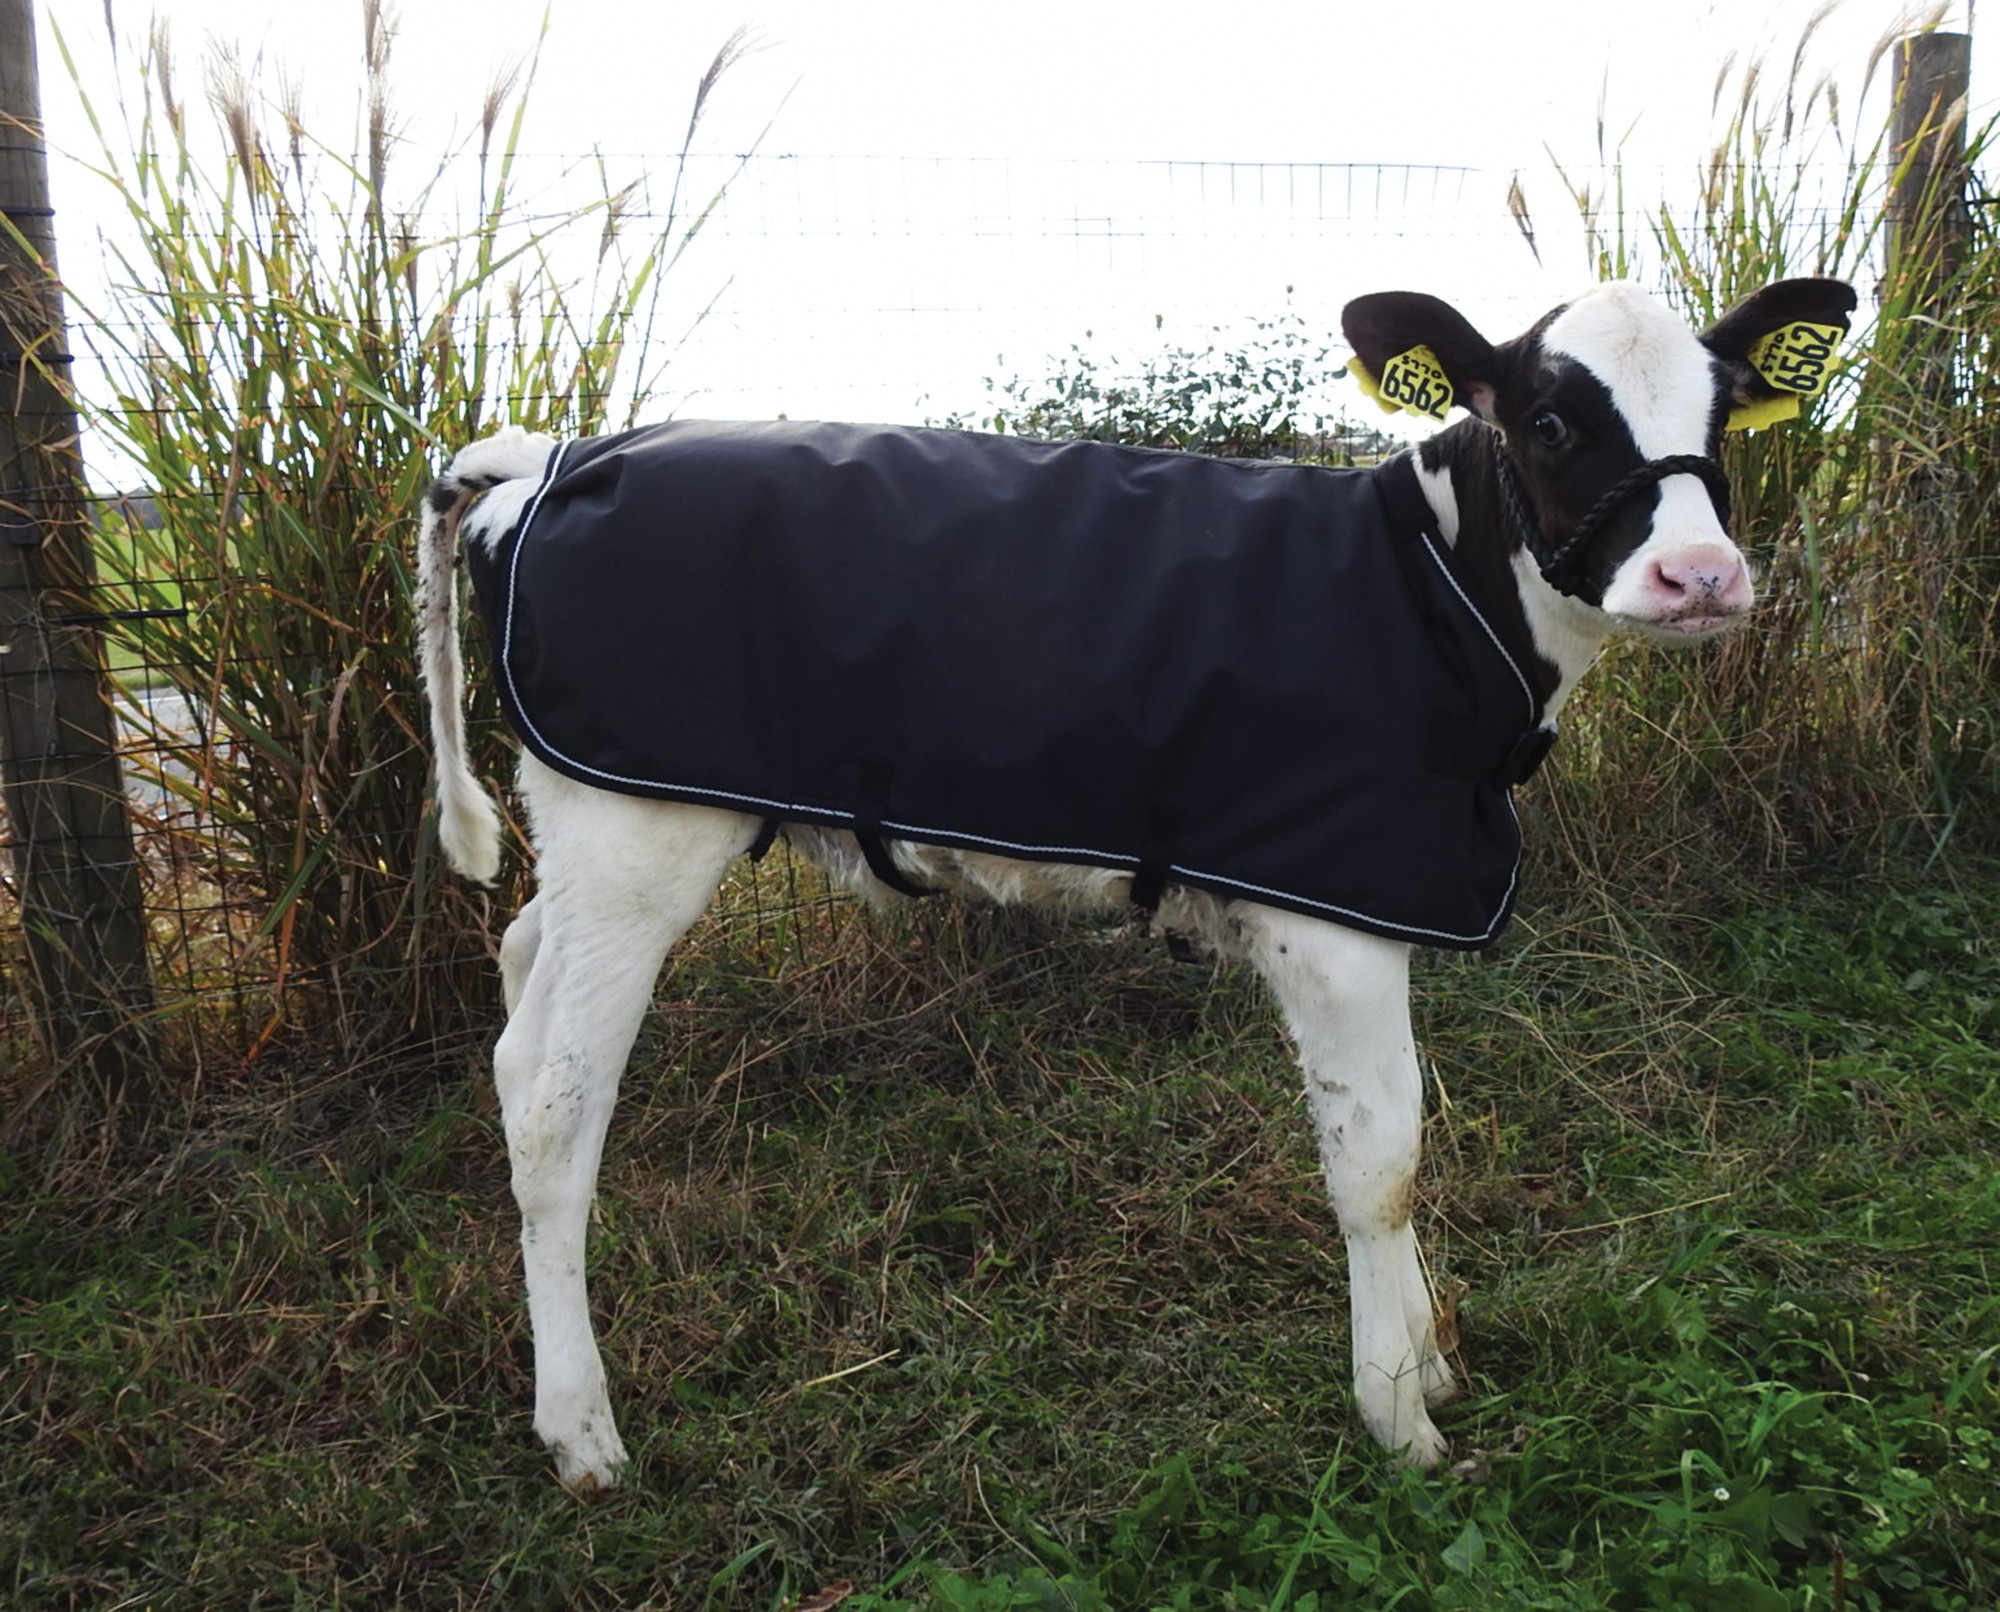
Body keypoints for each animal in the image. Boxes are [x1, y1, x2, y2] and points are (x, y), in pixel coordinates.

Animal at [416, 277, 1857, 1489]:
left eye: (1721, 415)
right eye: (1550, 419)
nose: (1701, 578)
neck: (1434, 597)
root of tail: (546, 461)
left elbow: (1399, 1141)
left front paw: (1430, 1357)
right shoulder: (1329, 921)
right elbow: (1380, 1162)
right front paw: (1398, 1414)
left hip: (585, 826)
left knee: (518, 986)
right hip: (638, 830)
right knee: (552, 1104)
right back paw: (582, 1432)